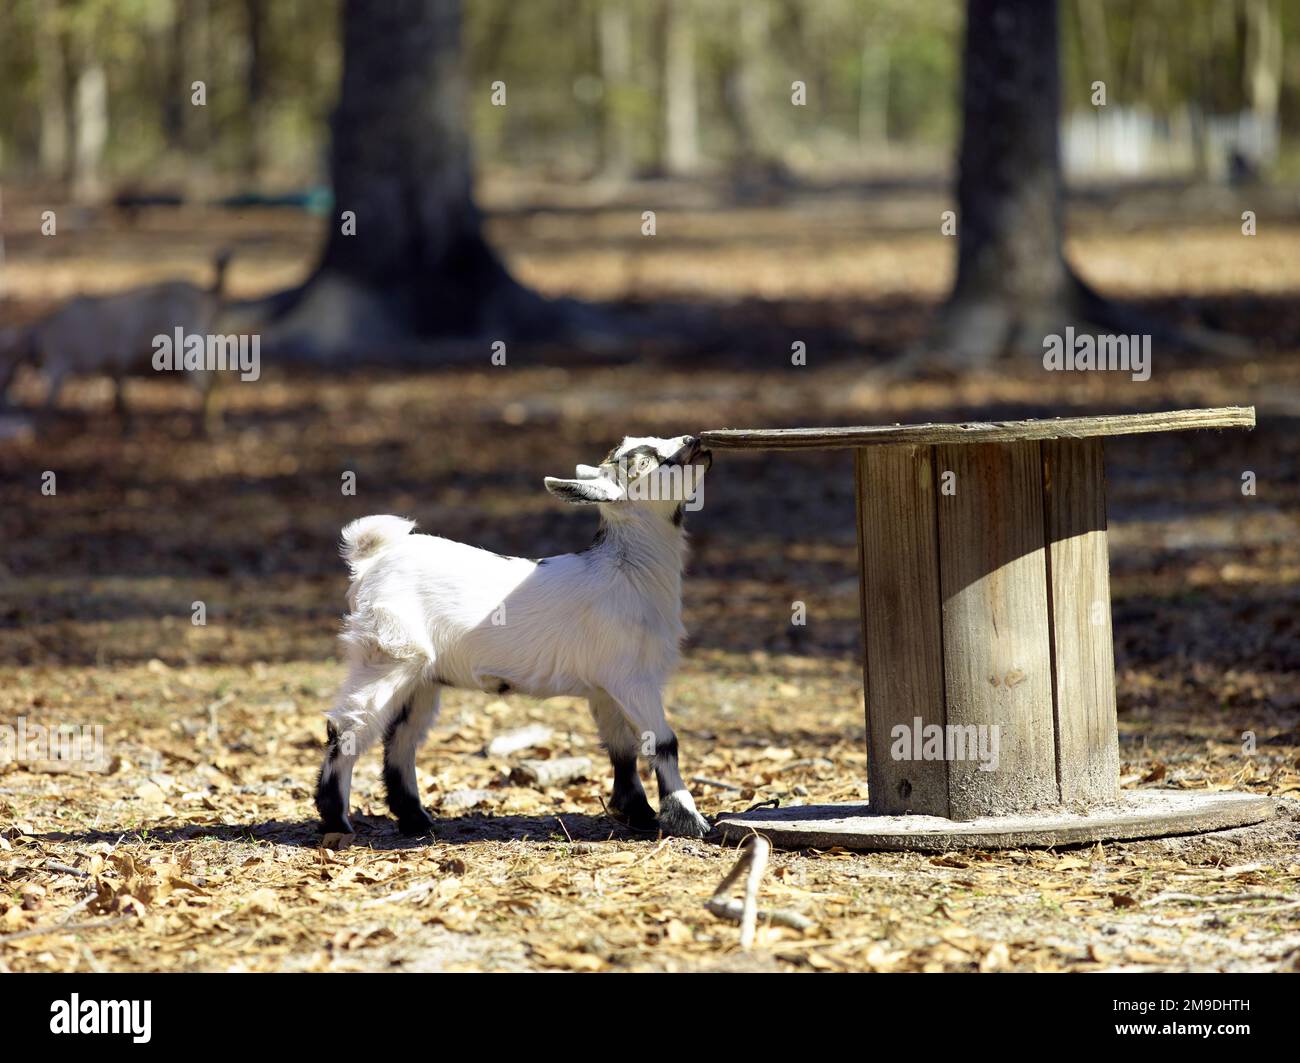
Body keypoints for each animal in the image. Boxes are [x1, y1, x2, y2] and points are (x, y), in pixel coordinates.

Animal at [0, 249, 233, 429]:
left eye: (5, 353)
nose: (3, 384)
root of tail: (207, 293)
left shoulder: (61, 363)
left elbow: (49, 401)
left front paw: (41, 427)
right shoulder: (114, 366)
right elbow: (119, 397)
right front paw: (126, 423)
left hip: (189, 349)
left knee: (208, 385)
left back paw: (207, 427)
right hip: (206, 346)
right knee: (217, 380)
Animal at [315, 434, 714, 839]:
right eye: (646, 461)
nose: (693, 440)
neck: (629, 570)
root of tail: (371, 562)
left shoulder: (605, 687)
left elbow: (622, 746)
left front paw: (638, 812)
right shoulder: (632, 677)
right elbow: (662, 741)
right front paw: (688, 820)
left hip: (421, 676)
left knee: (401, 737)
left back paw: (415, 819)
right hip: (388, 653)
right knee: (349, 726)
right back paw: (337, 820)